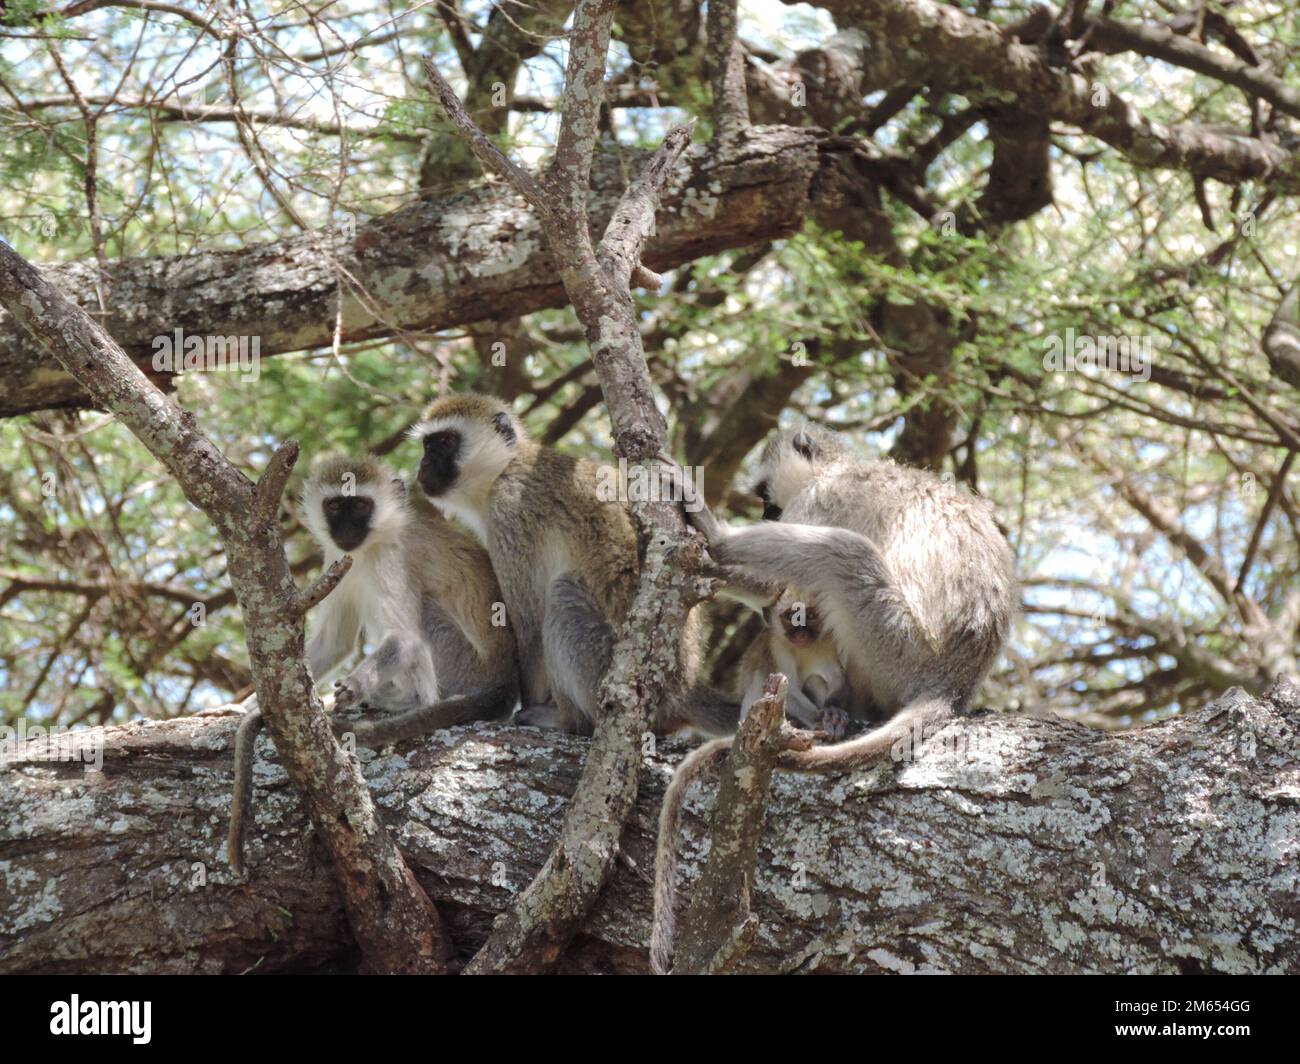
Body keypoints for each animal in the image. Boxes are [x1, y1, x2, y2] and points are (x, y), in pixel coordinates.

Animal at [226, 453, 519, 874]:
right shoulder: (339, 560)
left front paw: (356, 686)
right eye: (335, 506)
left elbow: (406, 638)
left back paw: (408, 701)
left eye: (361, 505)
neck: (372, 544)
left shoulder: (391, 559)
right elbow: (334, 641)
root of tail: (505, 683)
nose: (347, 529)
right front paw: (244, 704)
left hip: (460, 665)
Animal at [410, 392, 739, 738]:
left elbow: (529, 628)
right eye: (427, 444)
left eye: (446, 441)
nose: (424, 464)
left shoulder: (509, 510)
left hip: (604, 667)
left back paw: (567, 719)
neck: (506, 467)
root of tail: (682, 689)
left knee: (563, 596)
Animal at [650, 422, 1017, 971]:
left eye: (766, 498)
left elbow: (774, 584)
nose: (767, 515)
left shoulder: (824, 498)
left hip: (895, 647)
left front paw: (710, 528)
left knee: (842, 554)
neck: (841, 467)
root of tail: (953, 681)